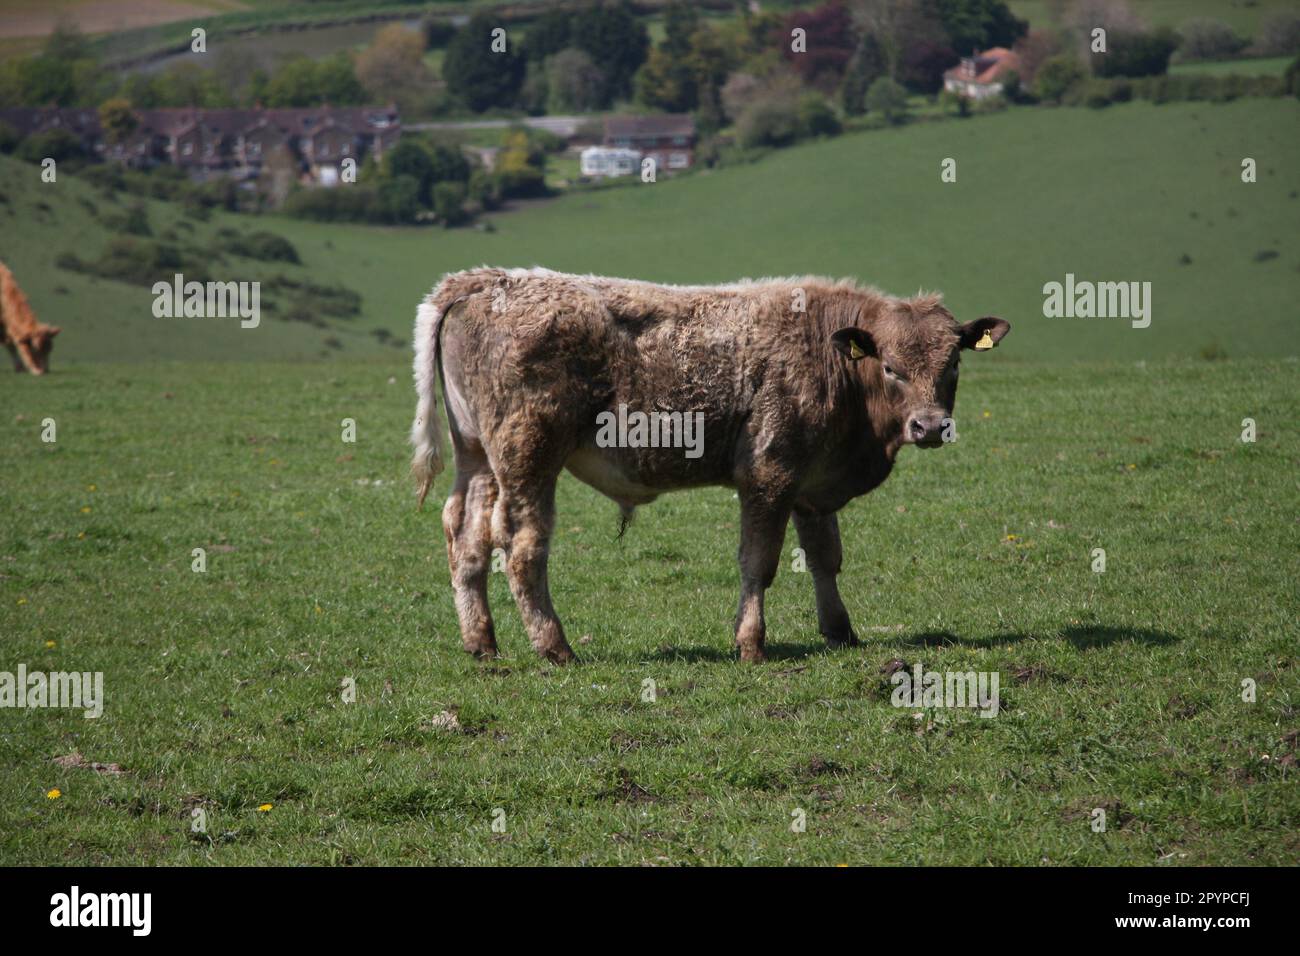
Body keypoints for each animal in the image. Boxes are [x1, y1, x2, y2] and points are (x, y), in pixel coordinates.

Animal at [410, 268, 1009, 664]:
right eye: (890, 368)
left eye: (953, 364)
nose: (930, 426)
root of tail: (486, 280)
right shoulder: (769, 474)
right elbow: (759, 562)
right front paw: (751, 644)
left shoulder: (813, 485)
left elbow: (825, 559)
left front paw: (840, 631)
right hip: (527, 457)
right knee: (521, 547)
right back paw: (555, 647)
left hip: (477, 457)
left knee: (465, 537)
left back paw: (482, 644)